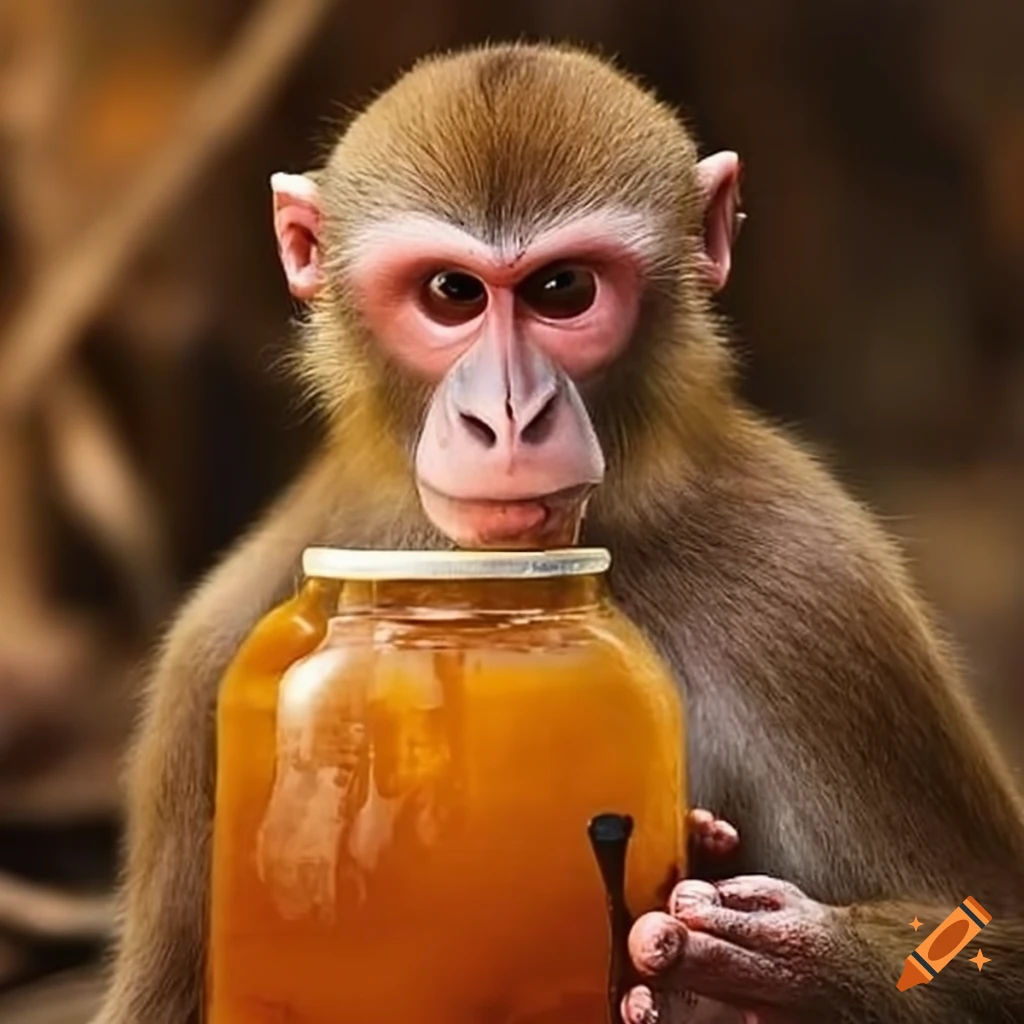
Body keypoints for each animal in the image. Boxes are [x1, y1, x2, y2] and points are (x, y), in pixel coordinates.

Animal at [91, 42, 1024, 1024]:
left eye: (562, 289)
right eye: (452, 293)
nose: (508, 417)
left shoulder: (816, 585)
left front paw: (778, 961)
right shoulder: (216, 652)